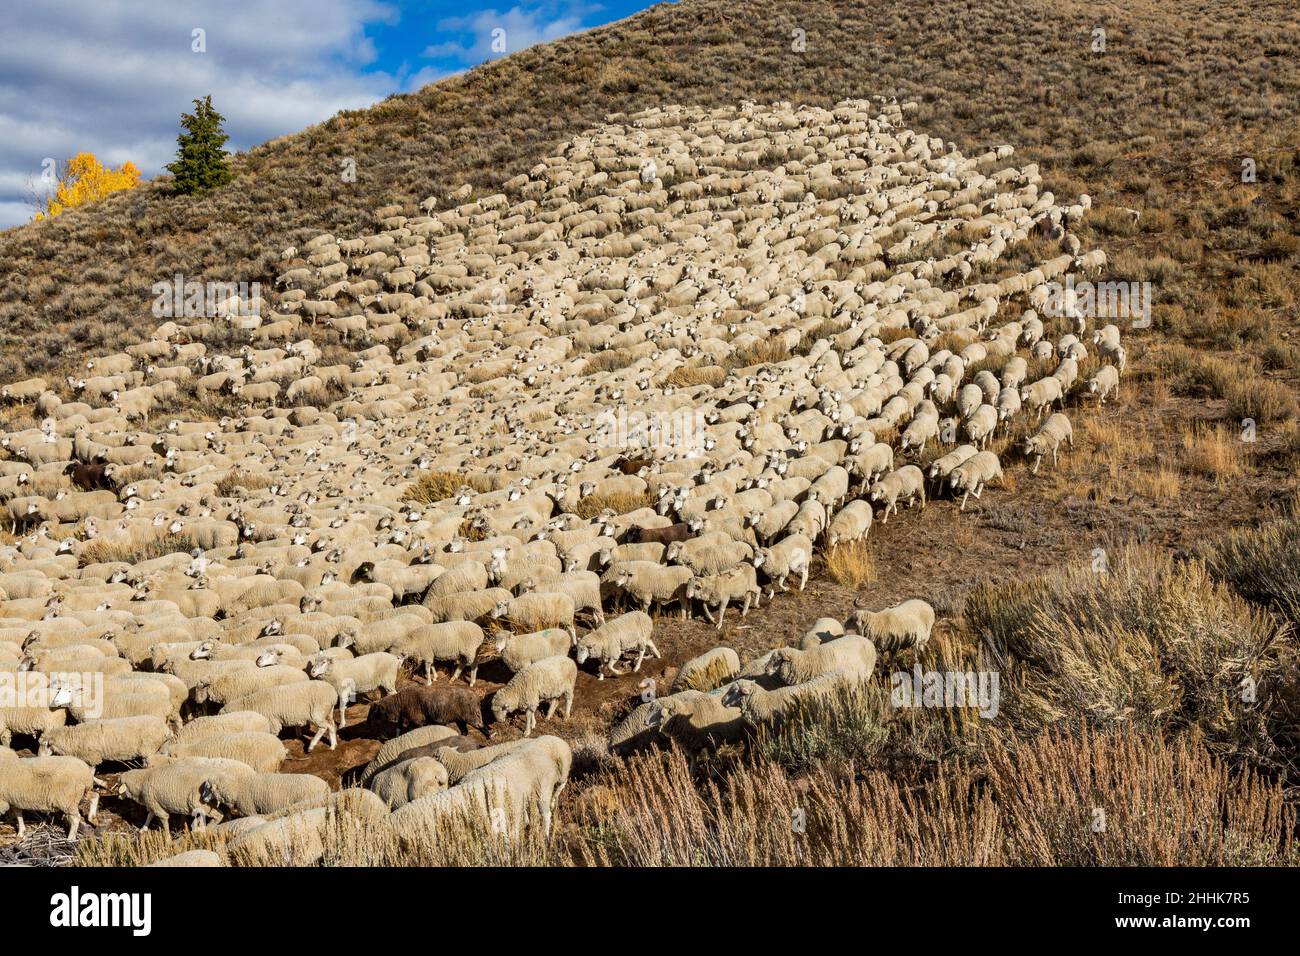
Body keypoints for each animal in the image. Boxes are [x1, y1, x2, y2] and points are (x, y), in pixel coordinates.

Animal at [38, 715, 173, 767]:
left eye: (44, 744)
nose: (38, 757)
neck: (72, 738)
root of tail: (165, 729)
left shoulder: (93, 756)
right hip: (162, 746)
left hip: (149, 748)